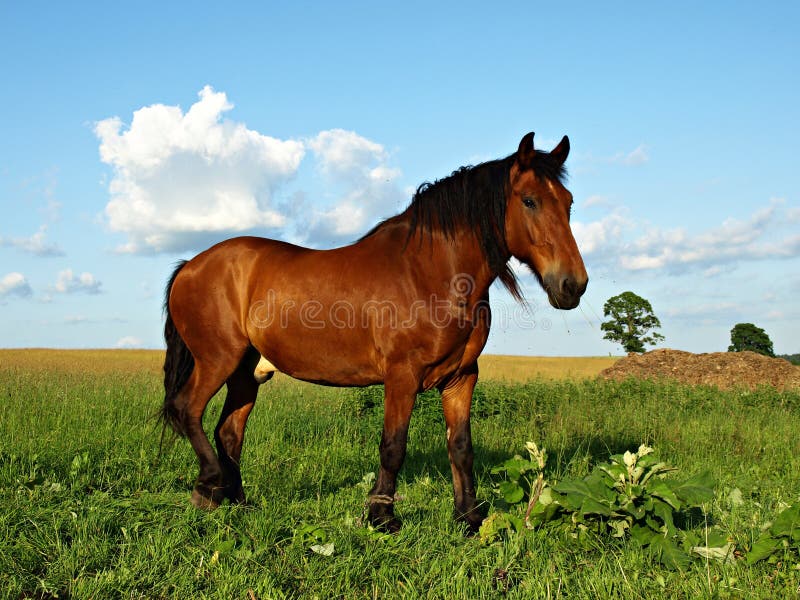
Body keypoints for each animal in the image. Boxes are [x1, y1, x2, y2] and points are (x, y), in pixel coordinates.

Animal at [160, 132, 588, 533]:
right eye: (529, 201)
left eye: (568, 202)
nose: (572, 285)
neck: (429, 273)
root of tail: (190, 266)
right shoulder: (402, 376)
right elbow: (393, 446)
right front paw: (382, 515)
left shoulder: (462, 377)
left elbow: (461, 446)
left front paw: (469, 517)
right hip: (217, 360)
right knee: (188, 410)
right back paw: (209, 486)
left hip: (245, 373)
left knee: (229, 432)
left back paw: (237, 501)